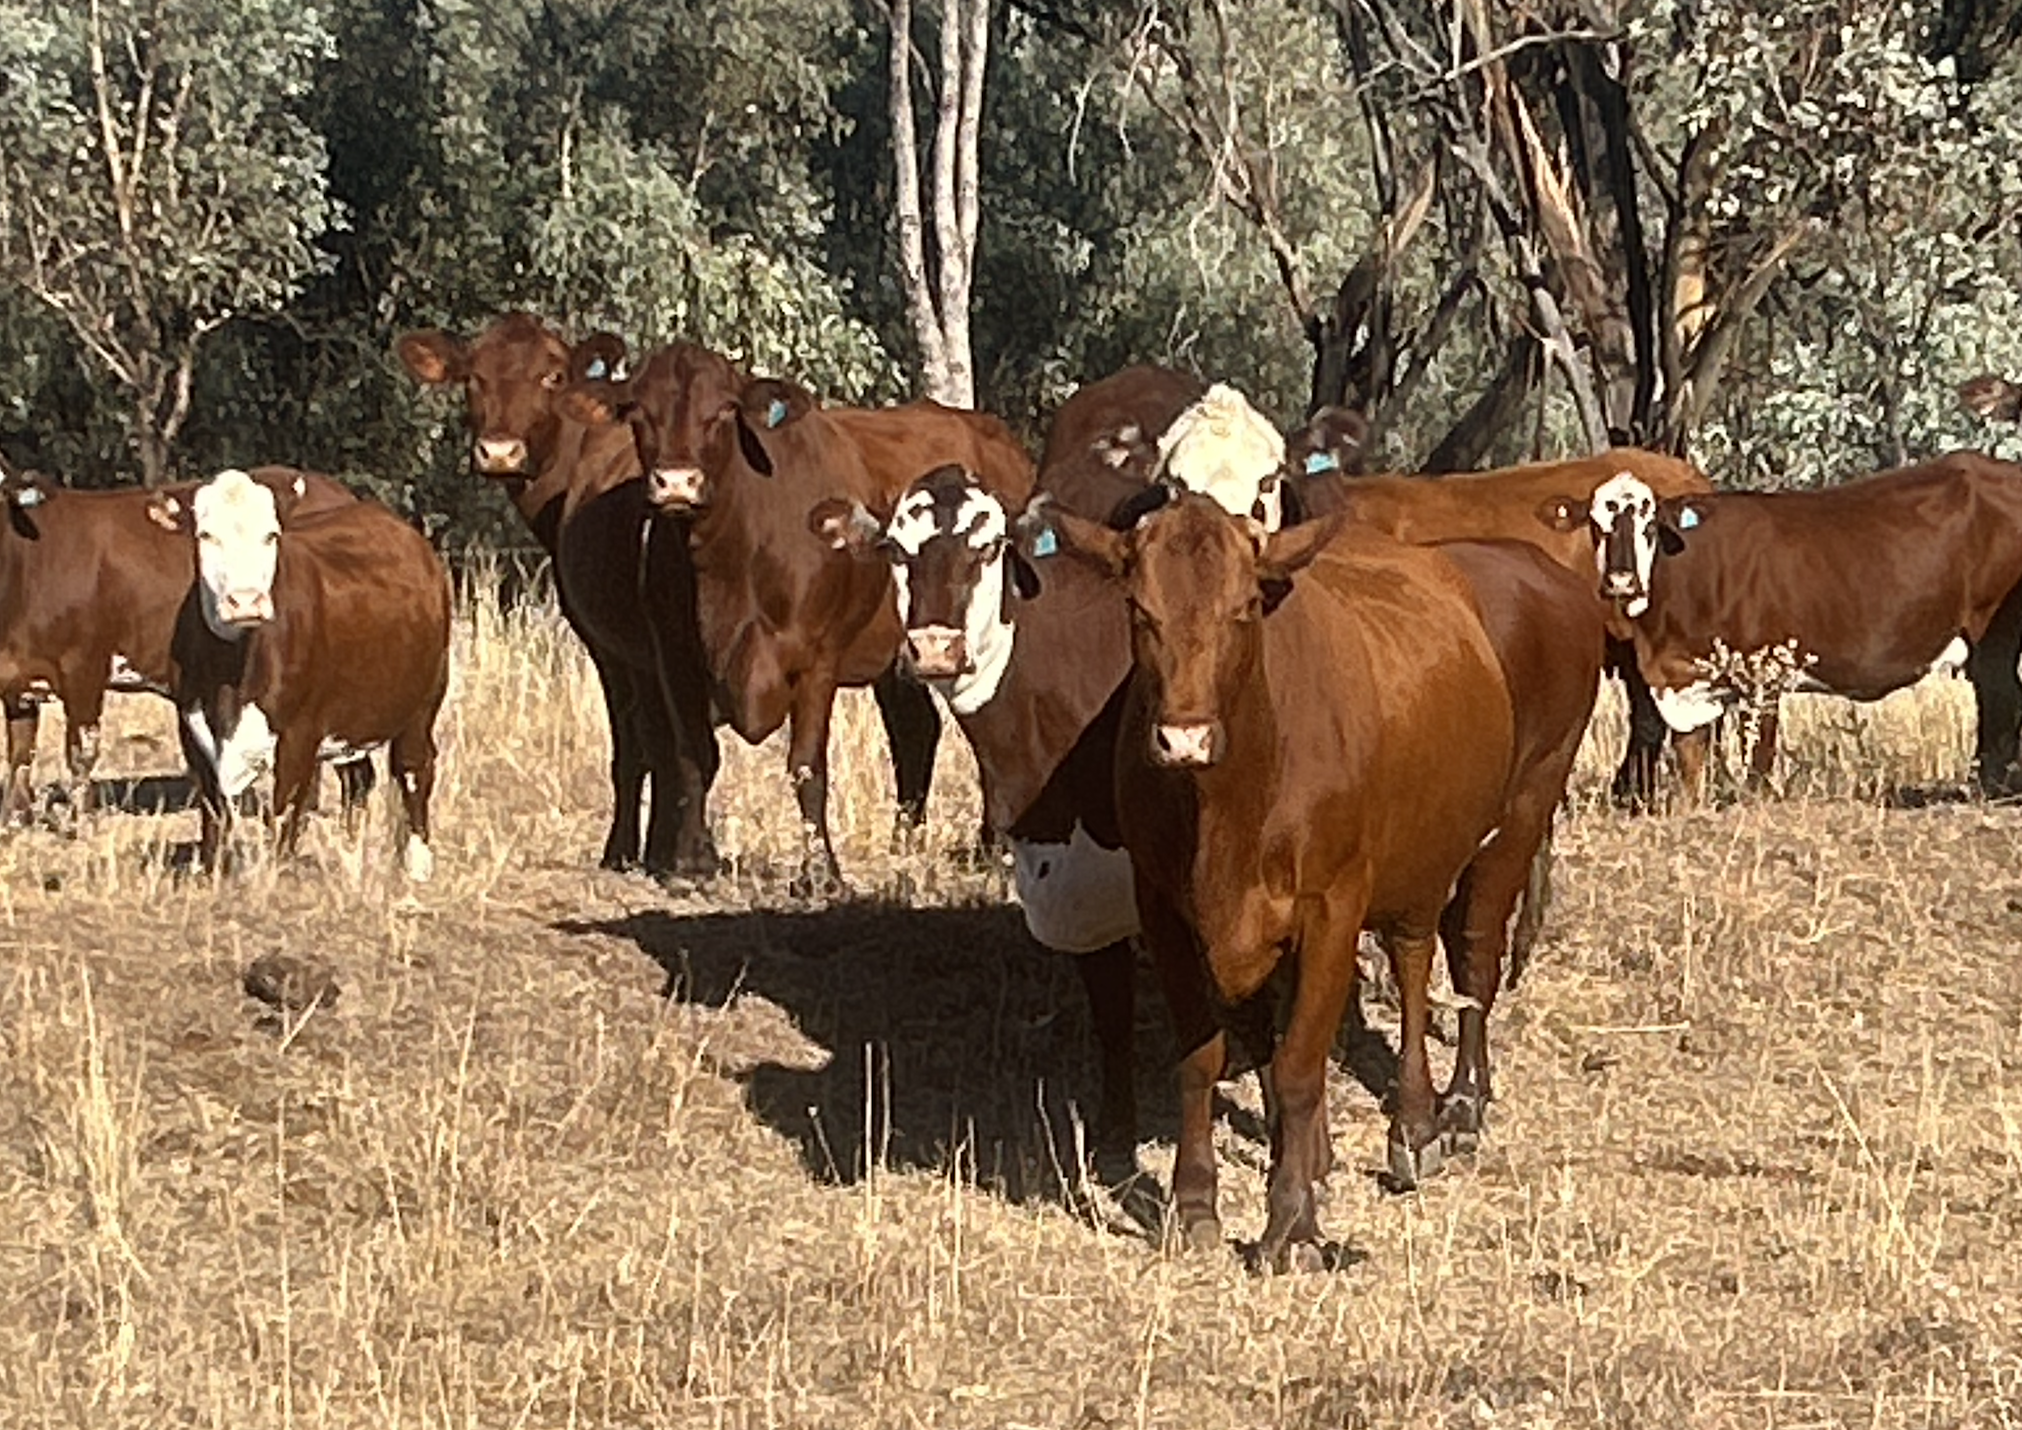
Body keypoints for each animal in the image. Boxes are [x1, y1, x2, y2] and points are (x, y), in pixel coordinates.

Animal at [0, 464, 353, 822]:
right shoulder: (17, 680)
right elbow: (20, 752)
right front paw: (14, 817)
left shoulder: (84, 670)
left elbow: (81, 754)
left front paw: (79, 821)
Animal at [161, 471, 450, 876]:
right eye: (205, 534)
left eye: (271, 535)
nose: (245, 601)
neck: (231, 675)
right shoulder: (191, 729)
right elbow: (213, 817)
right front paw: (211, 874)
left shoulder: (299, 735)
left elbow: (283, 817)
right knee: (360, 778)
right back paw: (352, 852)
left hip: (424, 699)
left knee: (413, 767)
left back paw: (416, 864)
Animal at [396, 316, 723, 882]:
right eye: (473, 377)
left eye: (551, 376)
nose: (499, 450)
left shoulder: (614, 647)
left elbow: (640, 747)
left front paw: (630, 850)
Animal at [1043, 490, 1602, 1270]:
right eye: (1138, 607)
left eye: (1245, 606)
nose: (1184, 737)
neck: (1229, 803)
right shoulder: (1164, 909)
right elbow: (1201, 1058)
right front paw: (1196, 1204)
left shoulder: (1332, 906)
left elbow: (1300, 1067)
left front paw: (1291, 1224)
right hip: (1419, 850)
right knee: (1412, 956)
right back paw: (1412, 1123)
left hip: (1522, 808)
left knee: (1474, 958)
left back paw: (1461, 1104)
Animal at [1585, 457, 2022, 795]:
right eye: (1596, 526)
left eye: (1649, 525)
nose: (1621, 580)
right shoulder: (1689, 684)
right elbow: (1692, 763)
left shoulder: (1763, 675)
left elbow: (1757, 755)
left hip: (1994, 640)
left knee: (2002, 700)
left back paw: (1993, 785)